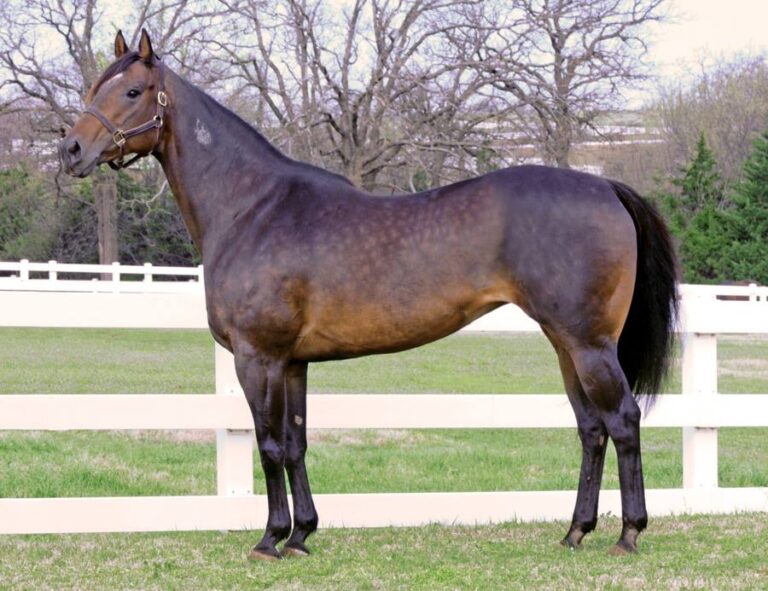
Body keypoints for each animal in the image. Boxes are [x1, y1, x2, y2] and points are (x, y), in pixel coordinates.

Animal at [59, 29, 678, 560]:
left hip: (589, 344)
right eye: (93, 88)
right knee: (591, 428)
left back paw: (628, 534)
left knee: (622, 421)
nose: (71, 150)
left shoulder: (258, 357)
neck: (252, 207)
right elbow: (296, 442)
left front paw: (270, 539)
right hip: (564, 343)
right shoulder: (293, 363)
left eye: (132, 91)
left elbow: (268, 444)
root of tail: (605, 186)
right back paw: (575, 532)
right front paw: (302, 535)